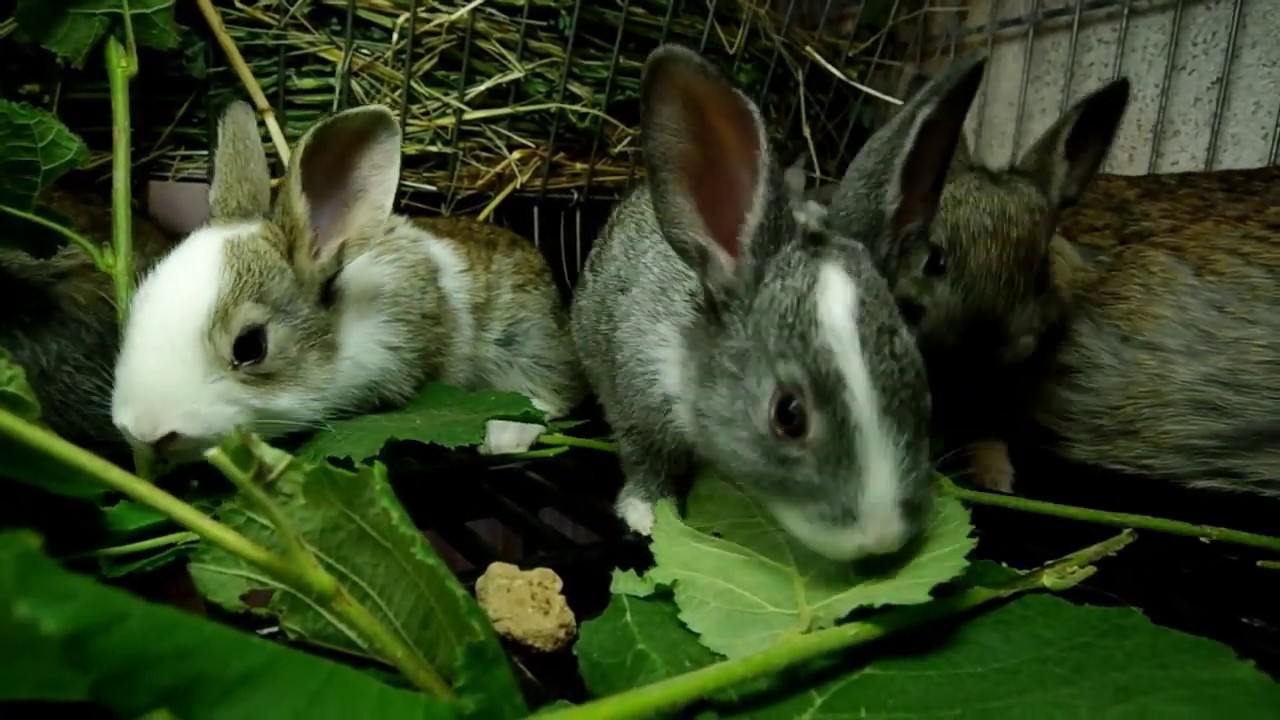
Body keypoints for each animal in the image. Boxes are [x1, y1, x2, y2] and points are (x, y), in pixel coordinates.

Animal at [569, 43, 987, 561]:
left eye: (919, 382)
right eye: (787, 416)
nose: (882, 537)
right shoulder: (636, 397)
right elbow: (646, 460)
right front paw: (645, 515)